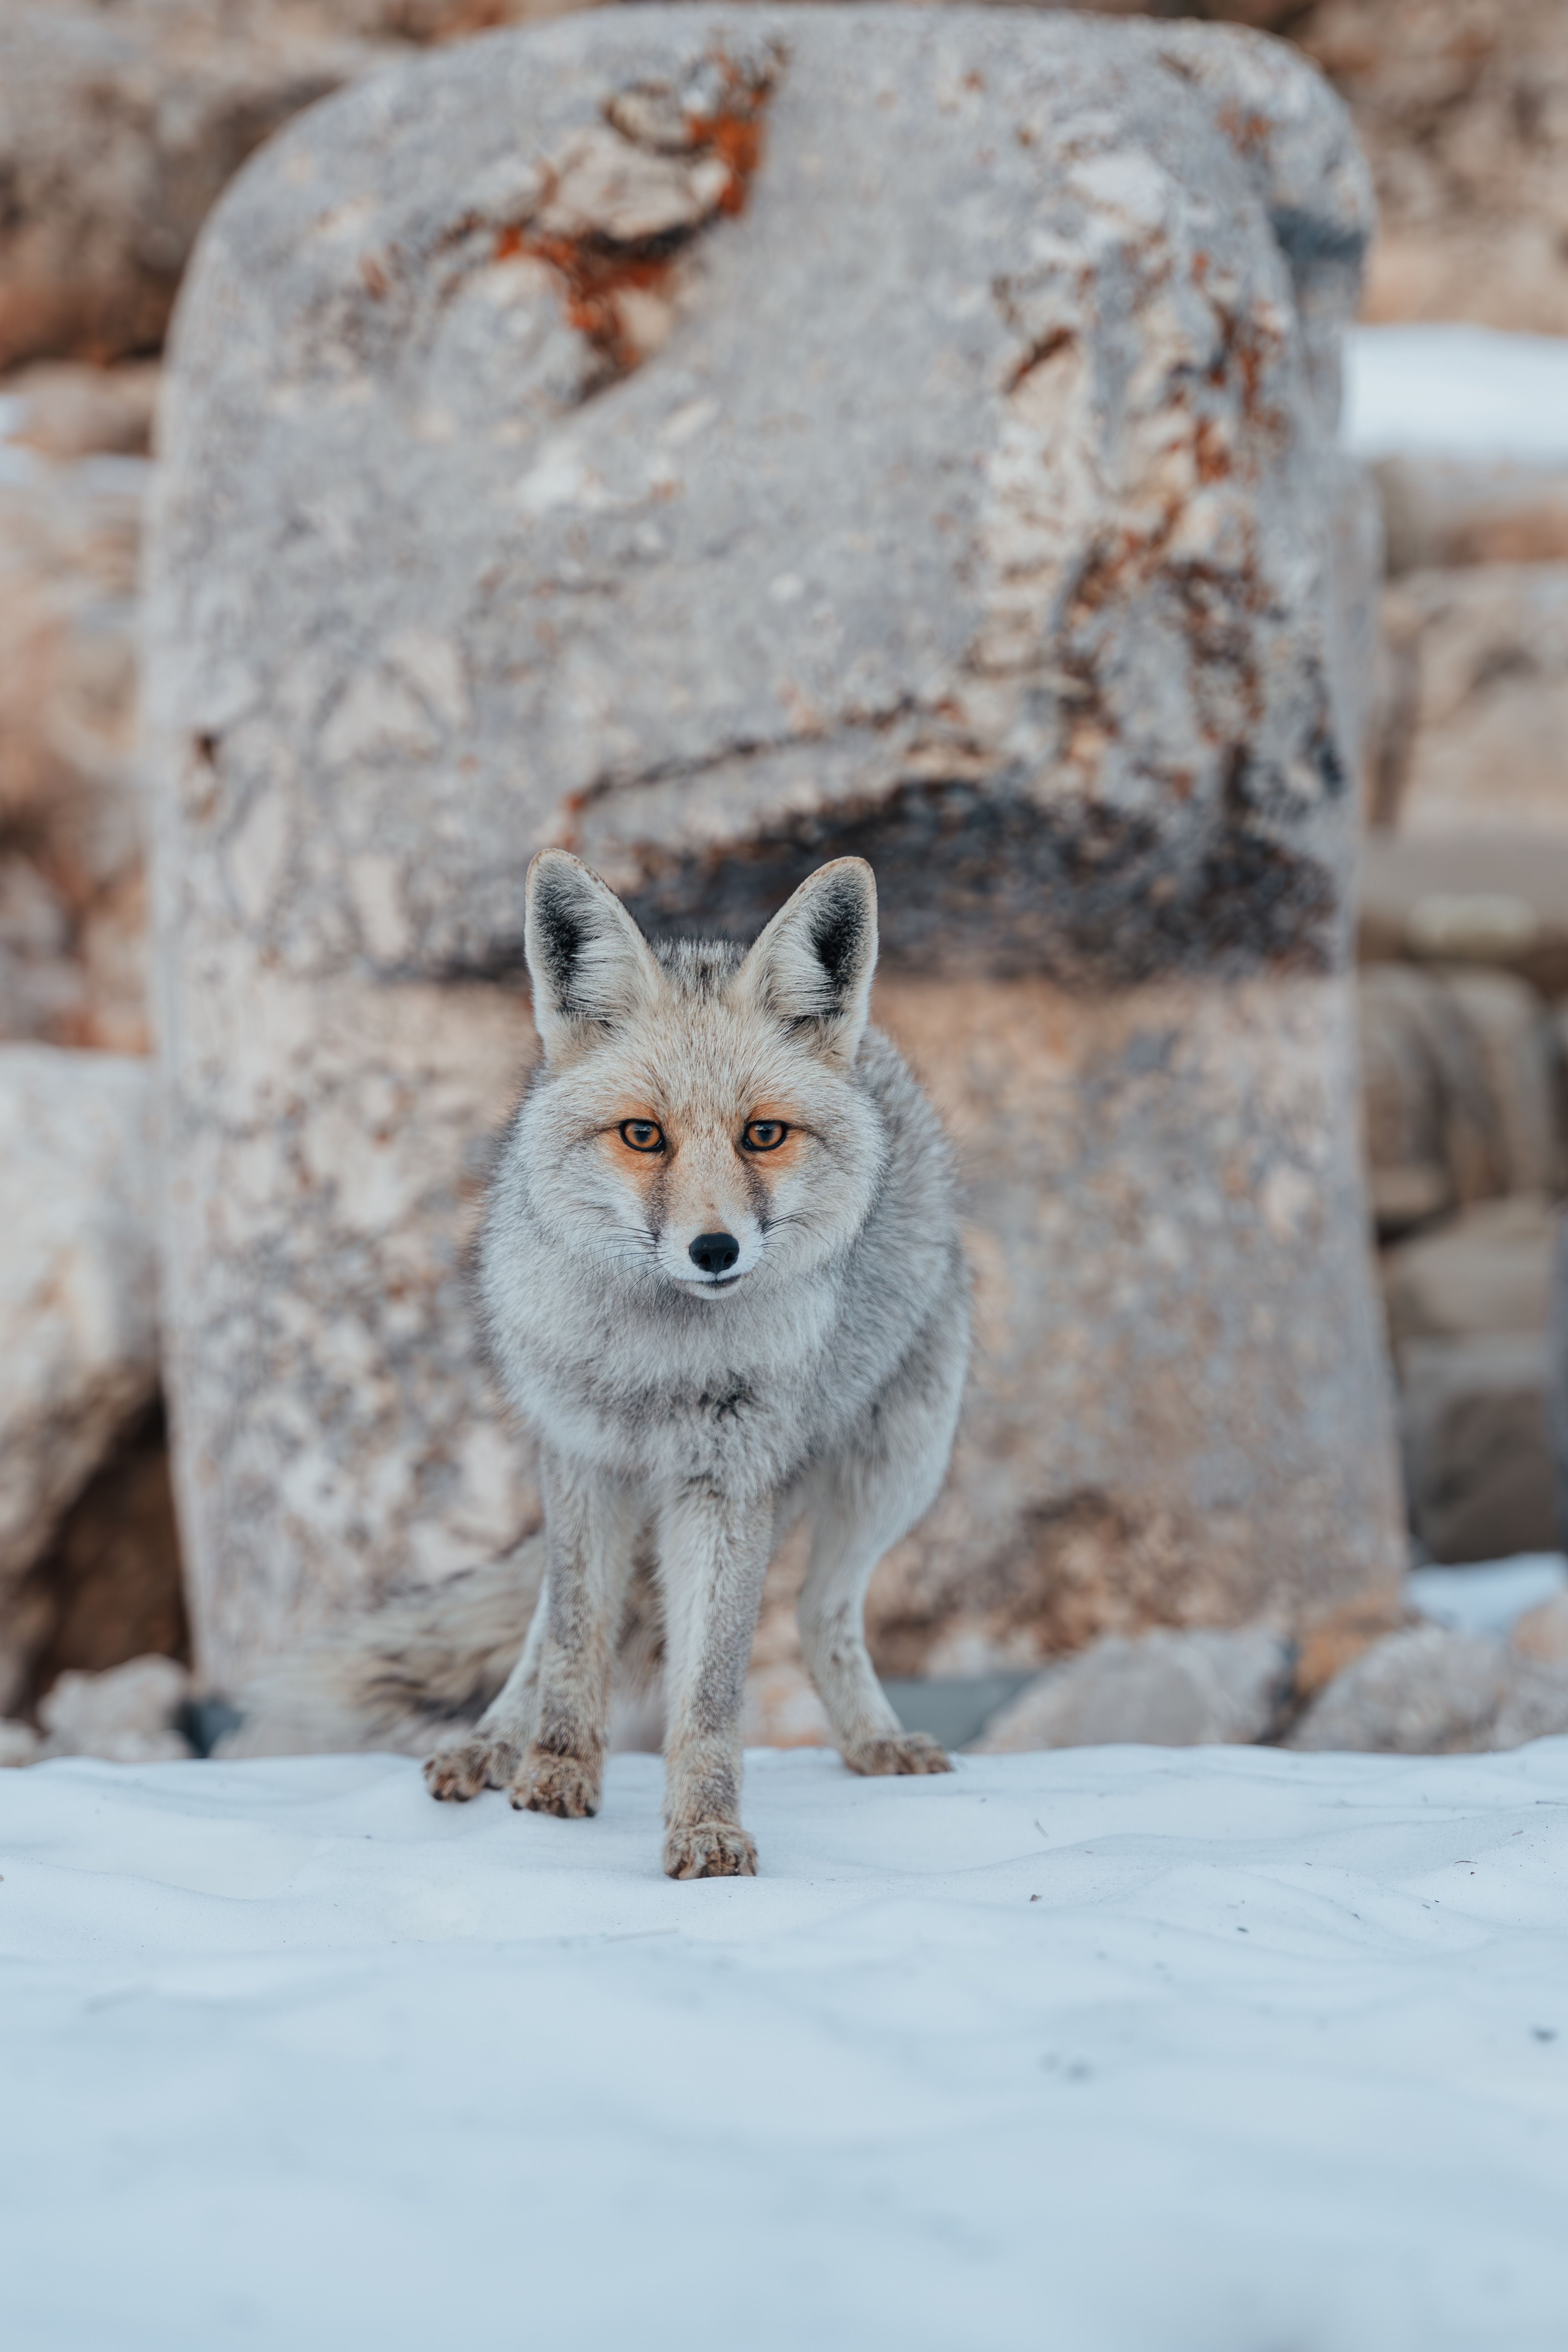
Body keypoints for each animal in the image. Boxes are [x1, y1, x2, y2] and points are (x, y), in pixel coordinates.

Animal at [239, 852, 970, 1878]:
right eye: (642, 1135)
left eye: (762, 1135)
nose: (714, 1251)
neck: (656, 1367)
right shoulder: (585, 1459)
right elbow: (574, 1642)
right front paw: (551, 1777)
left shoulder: (725, 1480)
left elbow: (708, 1693)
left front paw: (704, 1827)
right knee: (544, 1627)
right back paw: (490, 1745)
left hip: (895, 1471)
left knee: (818, 1614)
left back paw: (874, 1741)